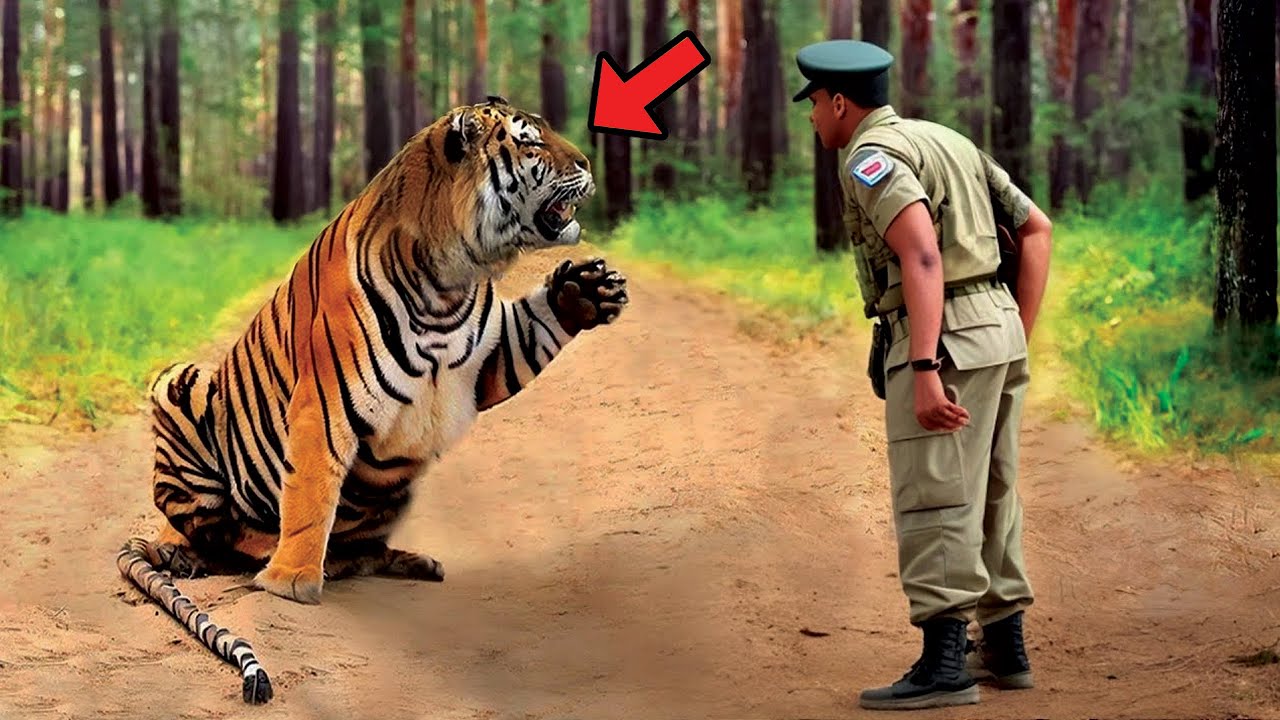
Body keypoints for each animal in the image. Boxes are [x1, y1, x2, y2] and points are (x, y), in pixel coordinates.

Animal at [115, 96, 629, 704]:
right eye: (530, 141)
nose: (588, 163)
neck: (454, 274)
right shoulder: (323, 405)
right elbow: (310, 493)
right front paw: (291, 582)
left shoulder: (492, 357)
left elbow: (532, 332)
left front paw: (584, 292)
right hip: (180, 385)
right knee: (218, 535)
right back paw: (255, 553)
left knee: (355, 546)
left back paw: (404, 561)